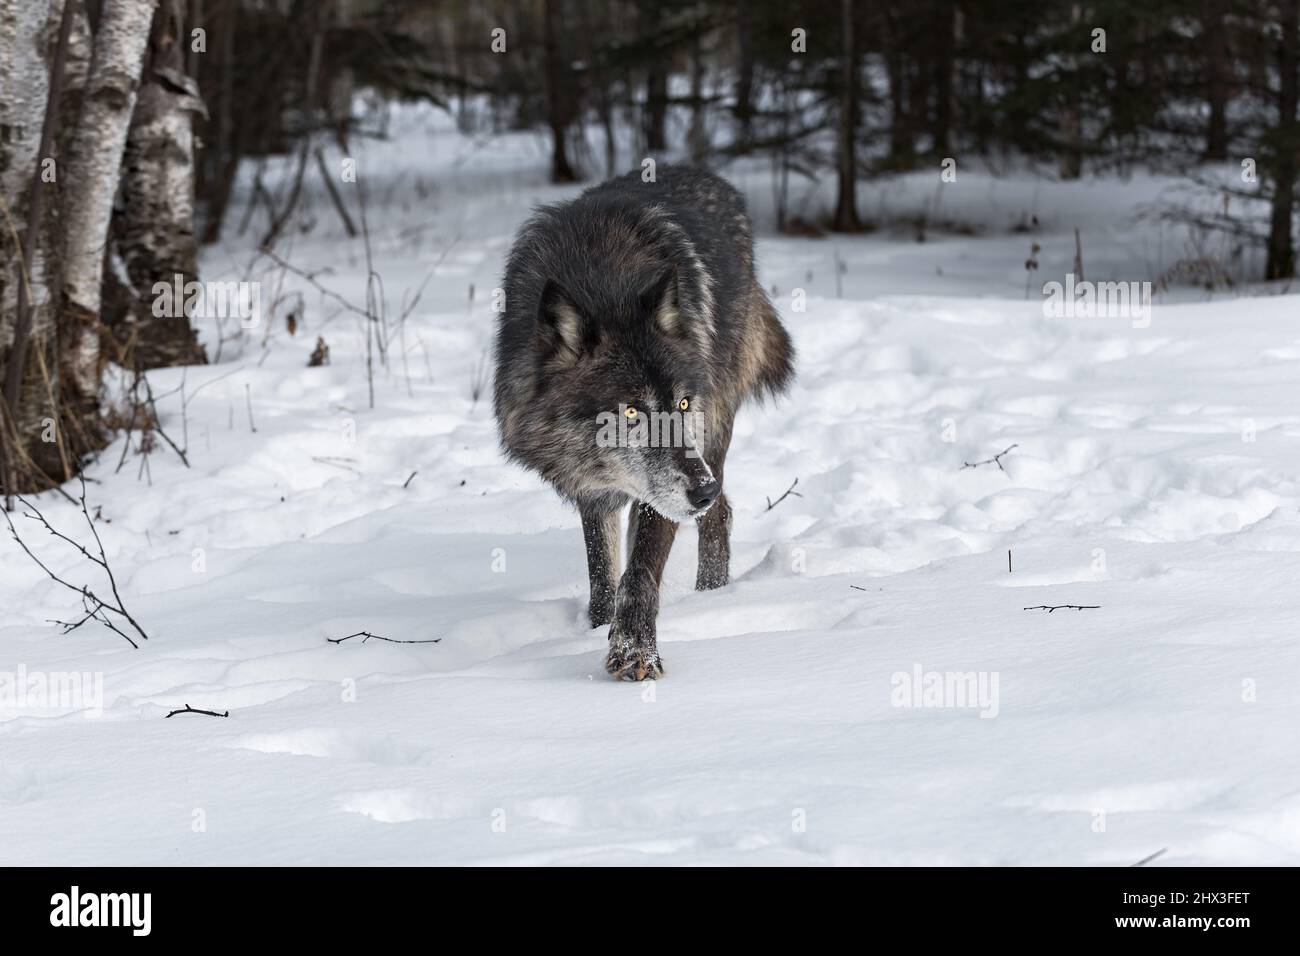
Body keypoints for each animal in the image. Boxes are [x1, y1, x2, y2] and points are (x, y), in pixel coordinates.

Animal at [494, 165, 794, 680]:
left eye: (684, 404)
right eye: (633, 411)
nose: (703, 490)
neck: (603, 280)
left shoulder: (675, 483)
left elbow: (640, 572)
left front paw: (634, 651)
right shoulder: (593, 489)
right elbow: (602, 570)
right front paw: (598, 628)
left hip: (714, 437)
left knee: (720, 516)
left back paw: (712, 597)